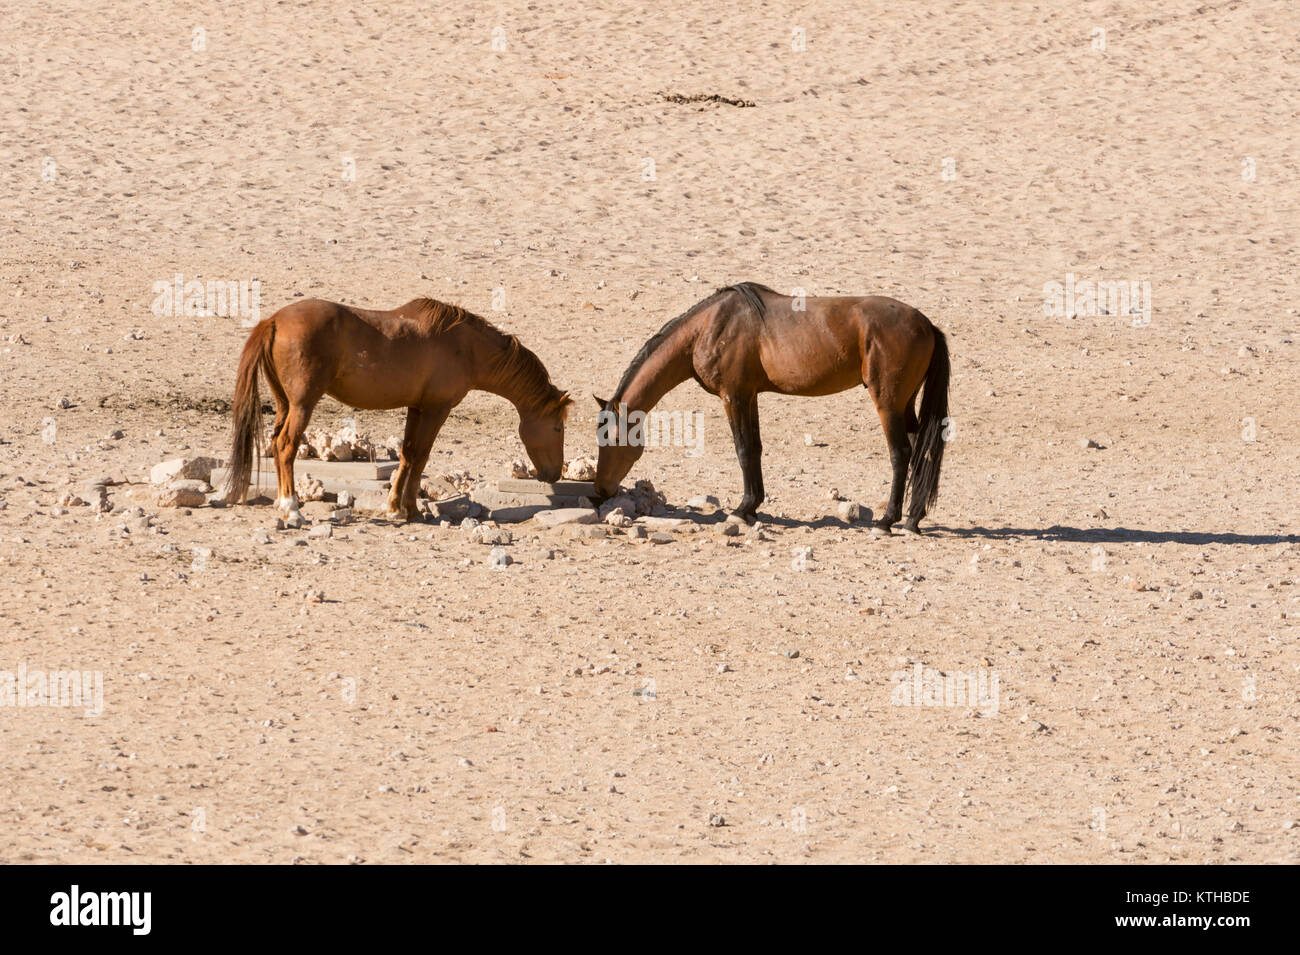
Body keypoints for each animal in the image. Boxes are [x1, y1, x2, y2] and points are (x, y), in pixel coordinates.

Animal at [223, 296, 572, 524]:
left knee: (275, 443)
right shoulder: (436, 409)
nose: (554, 474)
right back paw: (292, 508)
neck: (466, 347)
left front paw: (395, 507)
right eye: (558, 427)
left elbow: (407, 455)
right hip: (302, 405)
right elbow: (421, 457)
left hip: (285, 405)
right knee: (285, 447)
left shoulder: (417, 408)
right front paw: (413, 511)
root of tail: (273, 321)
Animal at [593, 282, 949, 534]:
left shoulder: (733, 396)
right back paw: (913, 519)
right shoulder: (749, 396)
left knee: (901, 454)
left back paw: (887, 521)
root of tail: (926, 324)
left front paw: (742, 509)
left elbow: (743, 449)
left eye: (613, 439)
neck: (709, 327)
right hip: (905, 404)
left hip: (887, 403)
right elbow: (755, 448)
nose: (599, 491)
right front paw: (752, 506)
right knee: (922, 452)